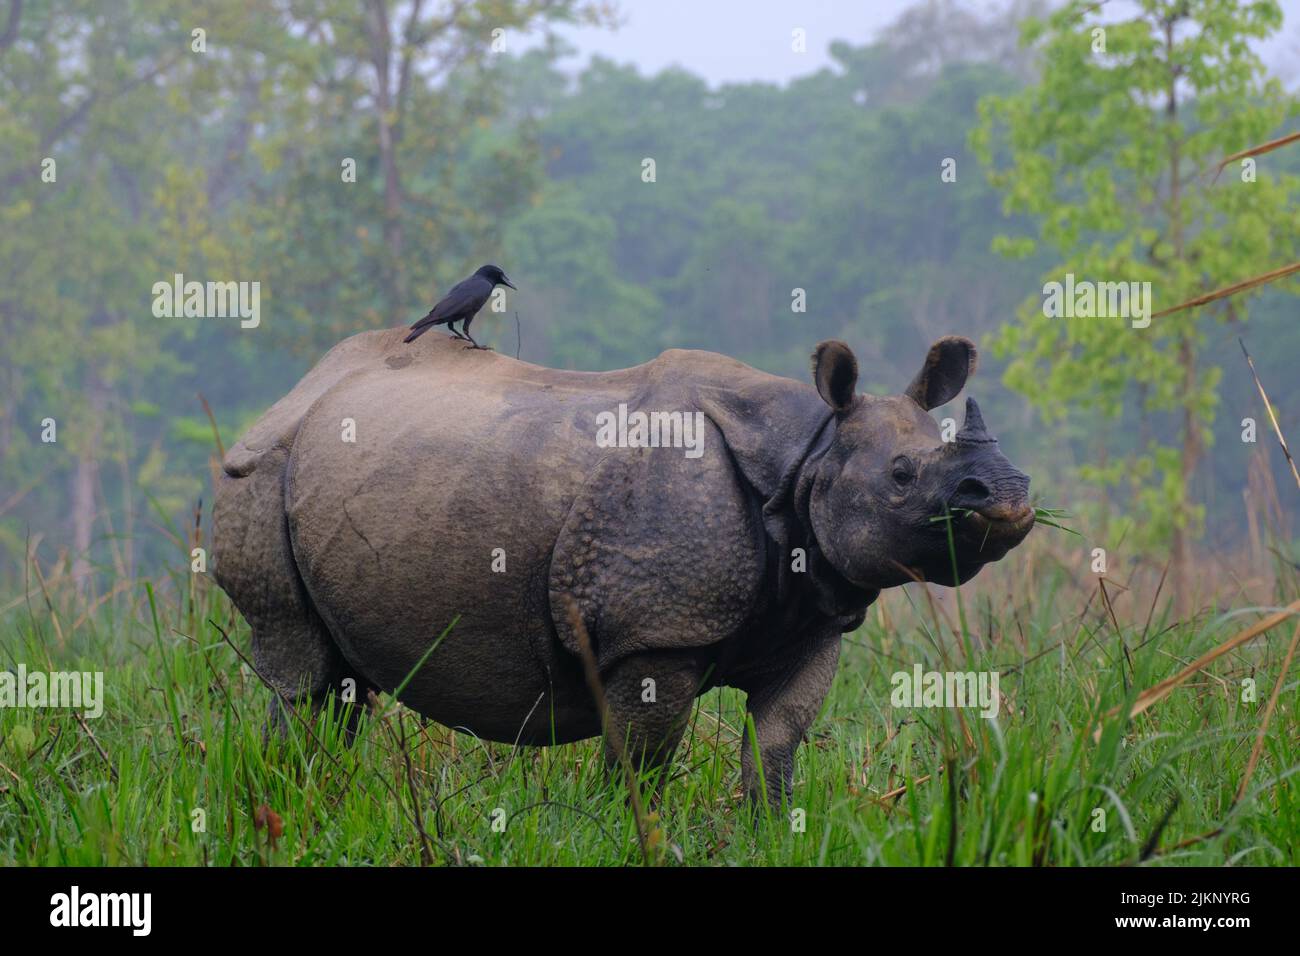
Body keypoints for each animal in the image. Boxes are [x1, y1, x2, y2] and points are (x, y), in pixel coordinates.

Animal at [211, 330, 1033, 807]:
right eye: (900, 474)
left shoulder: (813, 621)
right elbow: (643, 753)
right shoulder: (652, 631)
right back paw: (292, 795)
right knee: (299, 665)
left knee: (342, 680)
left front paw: (767, 830)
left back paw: (316, 797)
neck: (808, 455)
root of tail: (299, 390)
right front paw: (627, 829)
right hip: (260, 467)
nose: (1011, 496)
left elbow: (776, 742)